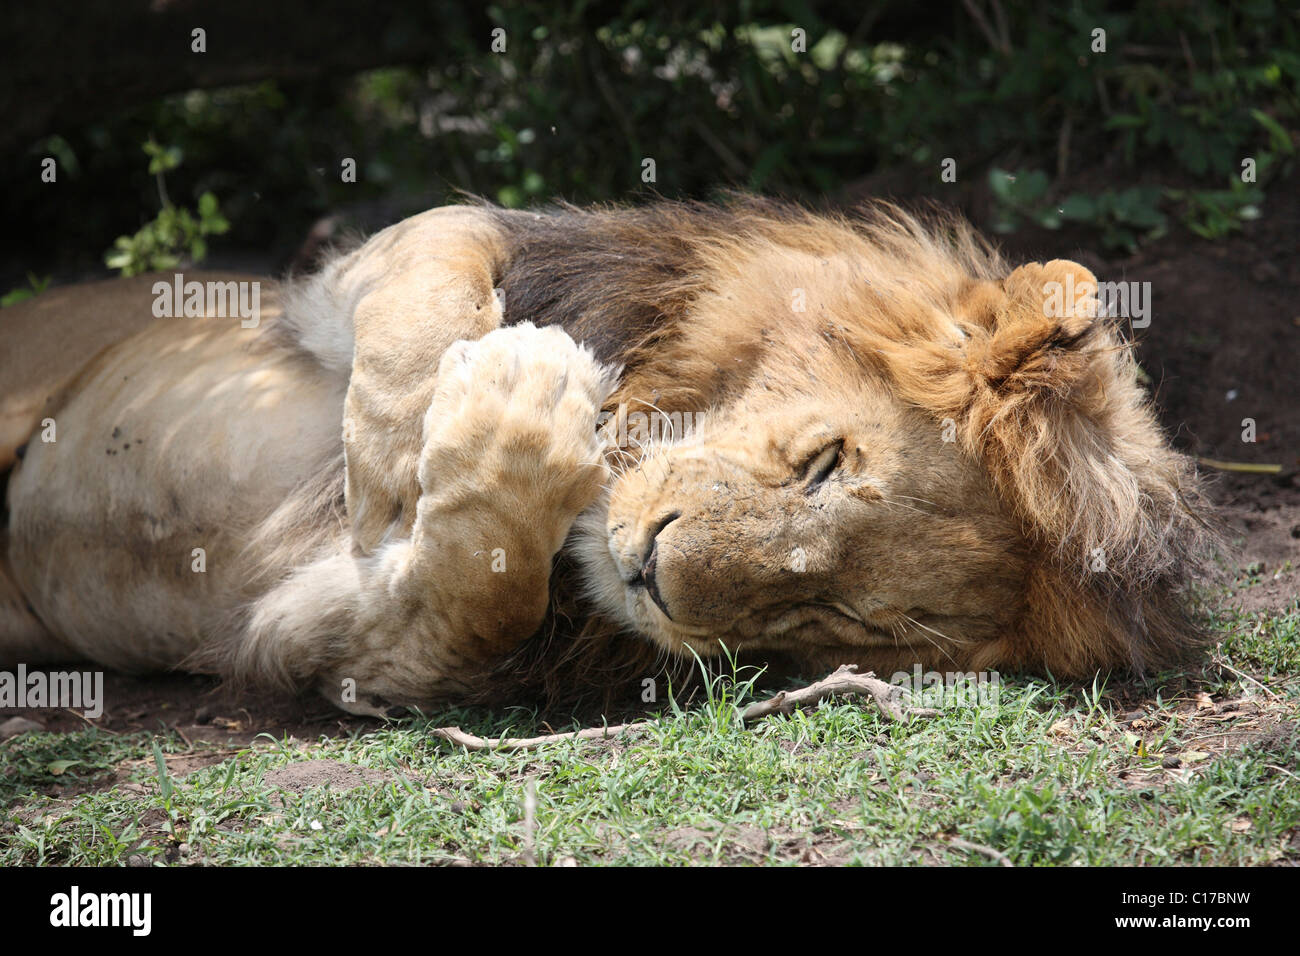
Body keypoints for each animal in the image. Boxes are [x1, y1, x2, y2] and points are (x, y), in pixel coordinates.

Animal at [0, 198, 1216, 715]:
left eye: (853, 621)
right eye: (826, 461)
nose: (651, 576)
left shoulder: (356, 645)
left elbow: (474, 591)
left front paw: (511, 417)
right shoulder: (345, 281)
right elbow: (430, 287)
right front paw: (399, 451)